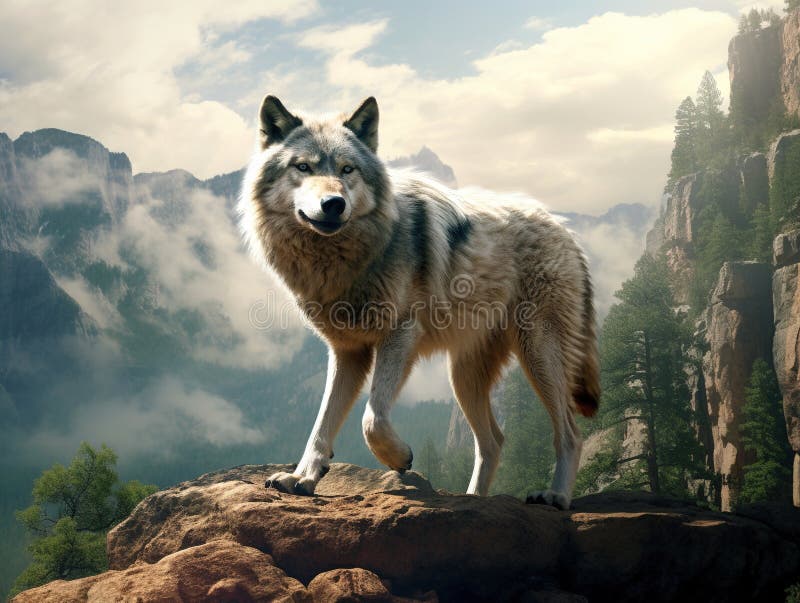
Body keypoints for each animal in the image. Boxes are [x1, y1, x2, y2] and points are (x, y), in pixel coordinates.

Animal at [238, 95, 600, 509]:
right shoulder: (348, 353)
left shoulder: (400, 335)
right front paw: (303, 477)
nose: (333, 203)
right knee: (493, 441)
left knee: (570, 432)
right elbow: (321, 426)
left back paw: (555, 495)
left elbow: (372, 419)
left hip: (537, 353)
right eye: (303, 167)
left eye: (347, 169)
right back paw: (472, 499)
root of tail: (566, 231)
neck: (346, 260)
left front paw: (400, 458)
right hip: (464, 376)